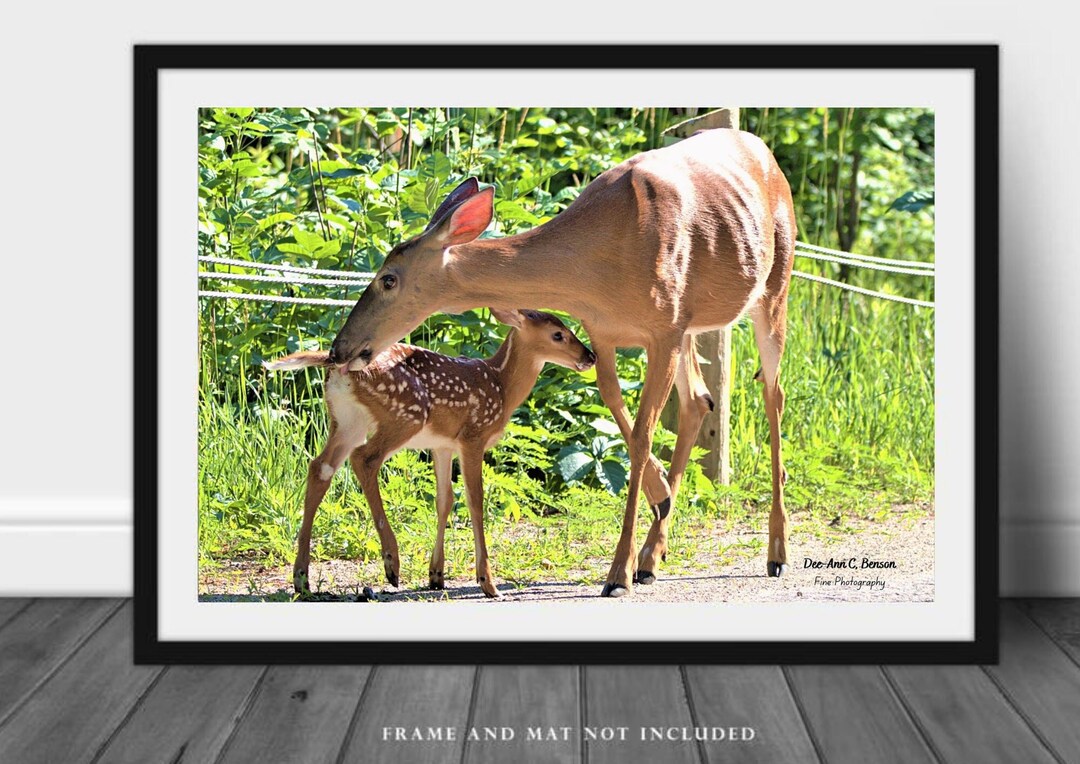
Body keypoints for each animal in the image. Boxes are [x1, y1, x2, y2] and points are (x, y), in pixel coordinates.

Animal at [266, 309, 596, 598]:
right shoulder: (473, 436)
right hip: (405, 415)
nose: (590, 356)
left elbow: (444, 500)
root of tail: (336, 367)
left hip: (347, 420)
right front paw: (487, 582)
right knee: (364, 459)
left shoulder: (442, 444)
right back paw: (391, 561)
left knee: (320, 466)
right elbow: (475, 501)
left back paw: (302, 579)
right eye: (558, 334)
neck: (502, 386)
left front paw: (436, 575)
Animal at [327, 127, 796, 598]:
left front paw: (618, 573)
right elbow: (621, 415)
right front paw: (658, 497)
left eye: (388, 279)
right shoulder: (606, 332)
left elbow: (642, 435)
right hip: (693, 328)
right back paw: (652, 556)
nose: (339, 349)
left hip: (774, 288)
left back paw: (776, 554)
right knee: (700, 399)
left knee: (773, 394)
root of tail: (765, 151)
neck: (597, 270)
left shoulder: (664, 328)